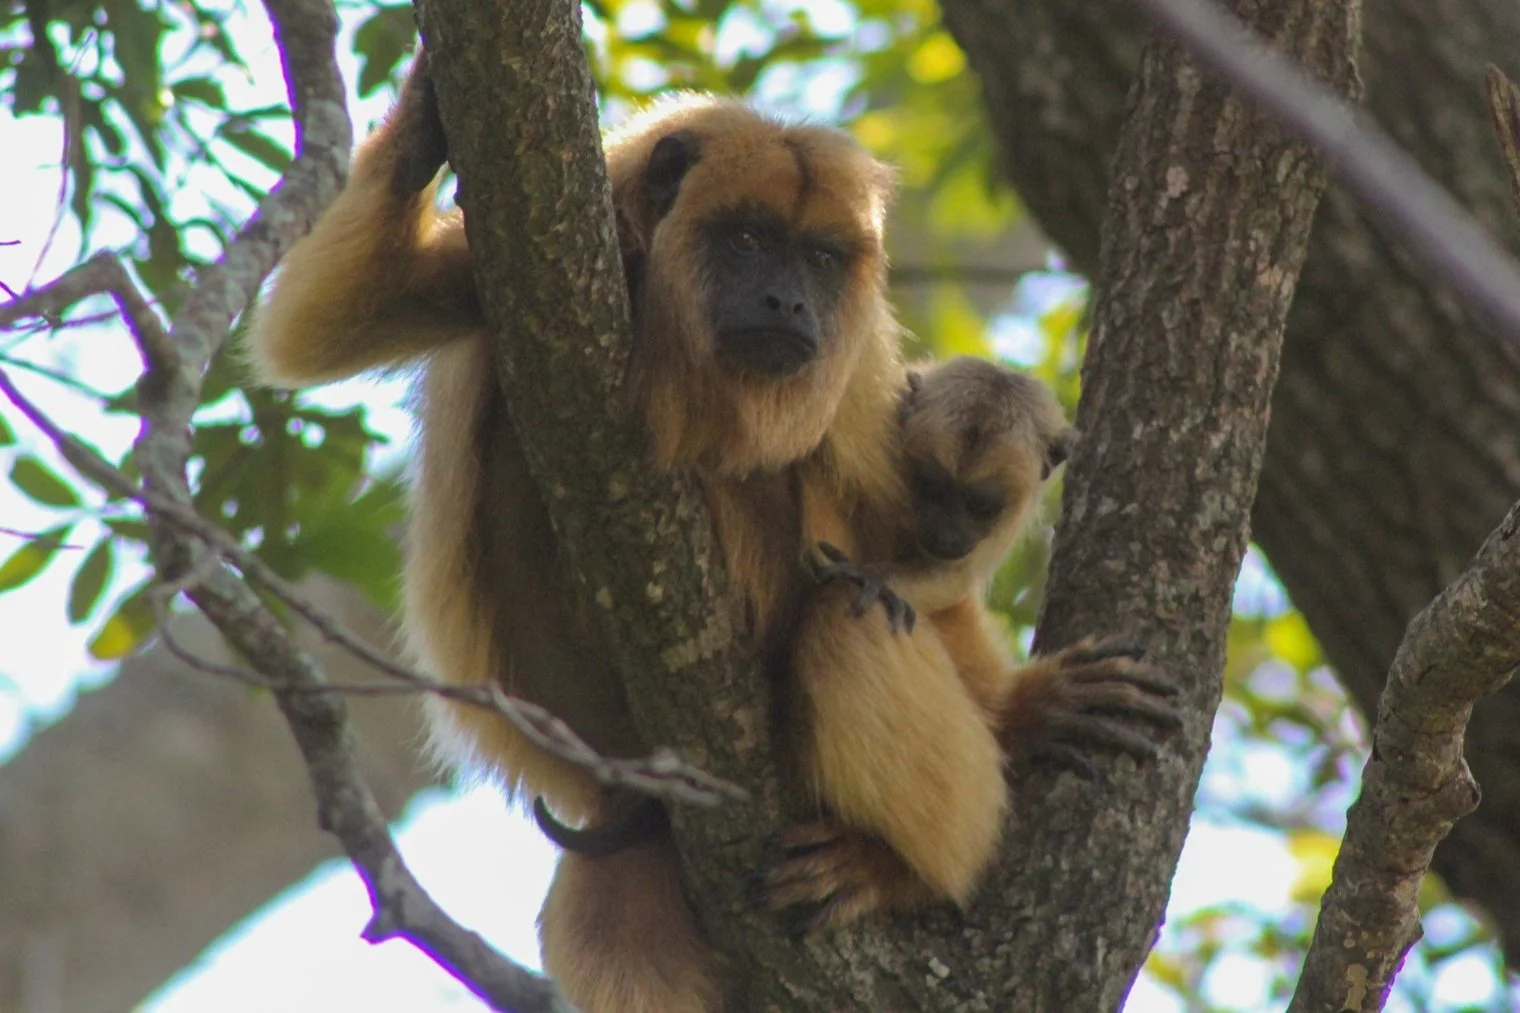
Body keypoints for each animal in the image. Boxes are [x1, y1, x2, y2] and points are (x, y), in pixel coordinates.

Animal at [245, 50, 914, 1013]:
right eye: (749, 241)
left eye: (821, 258)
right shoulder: (501, 266)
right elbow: (316, 326)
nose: (791, 303)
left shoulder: (851, 362)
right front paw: (424, 116)